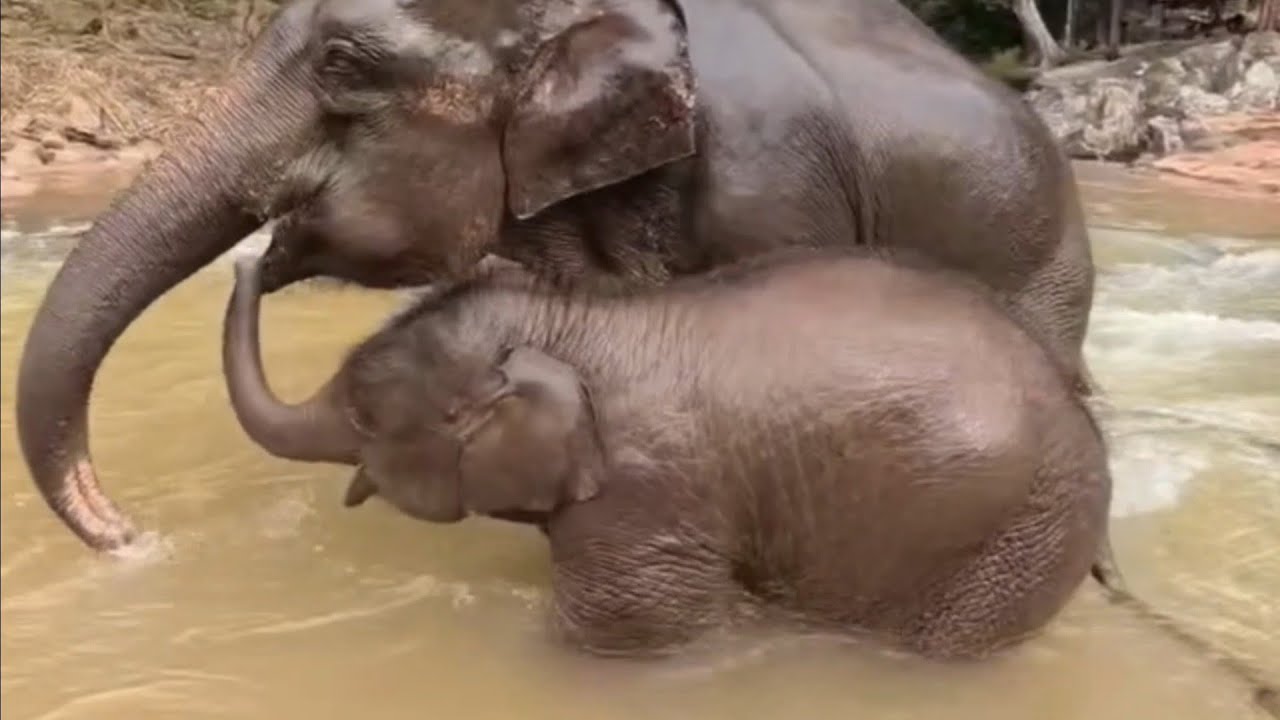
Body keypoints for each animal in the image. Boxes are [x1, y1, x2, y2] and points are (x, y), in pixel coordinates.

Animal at [222, 246, 1114, 659]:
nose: (256, 254)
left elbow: (630, 630)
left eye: (367, 414)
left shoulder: (645, 495)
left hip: (1010, 540)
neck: (575, 320)